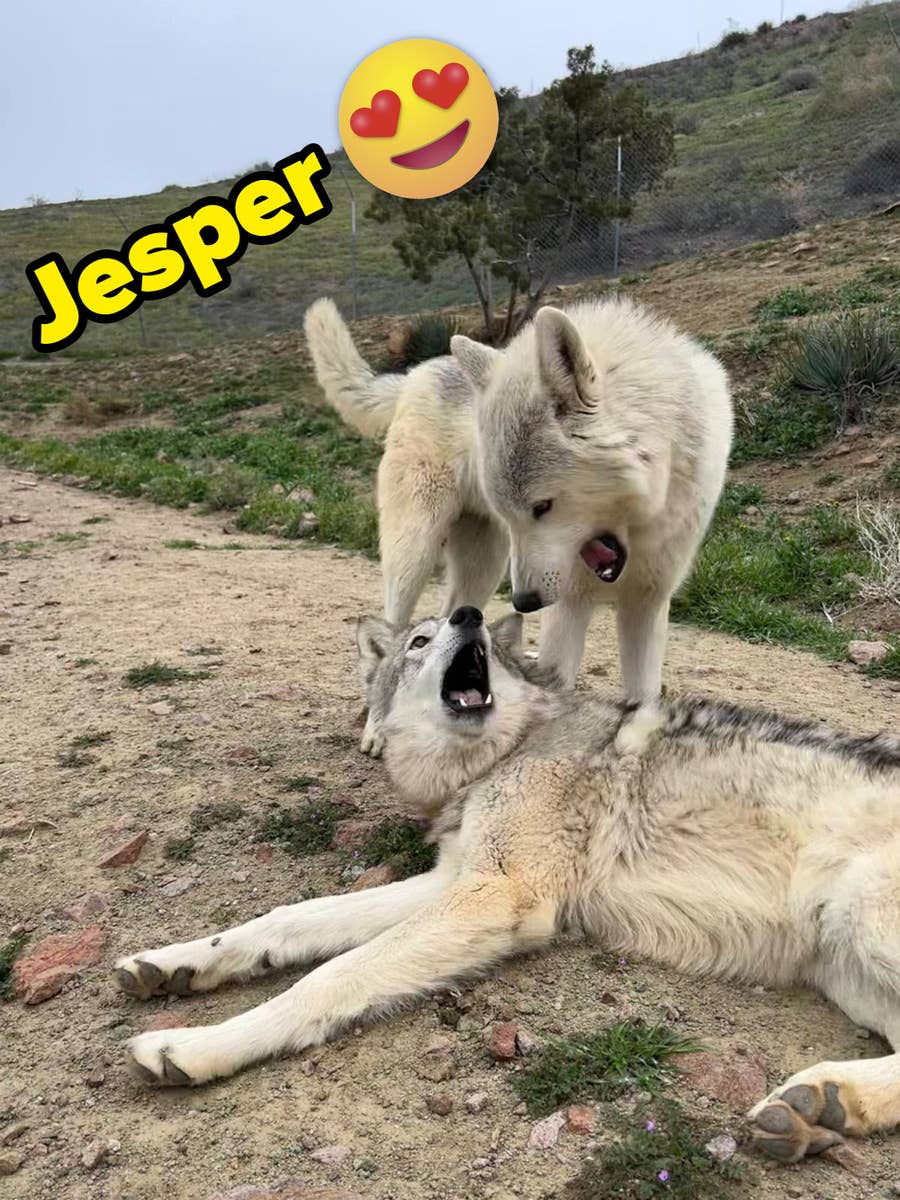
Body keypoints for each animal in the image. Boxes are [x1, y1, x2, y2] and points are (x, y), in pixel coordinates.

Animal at [115, 607, 900, 1166]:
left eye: (477, 633)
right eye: (420, 639)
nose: (467, 613)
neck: (502, 753)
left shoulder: (498, 894)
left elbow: (329, 977)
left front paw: (196, 1046)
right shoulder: (452, 882)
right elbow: (285, 920)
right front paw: (174, 964)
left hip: (860, 920)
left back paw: (820, 1099)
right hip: (844, 968)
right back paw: (820, 1107)